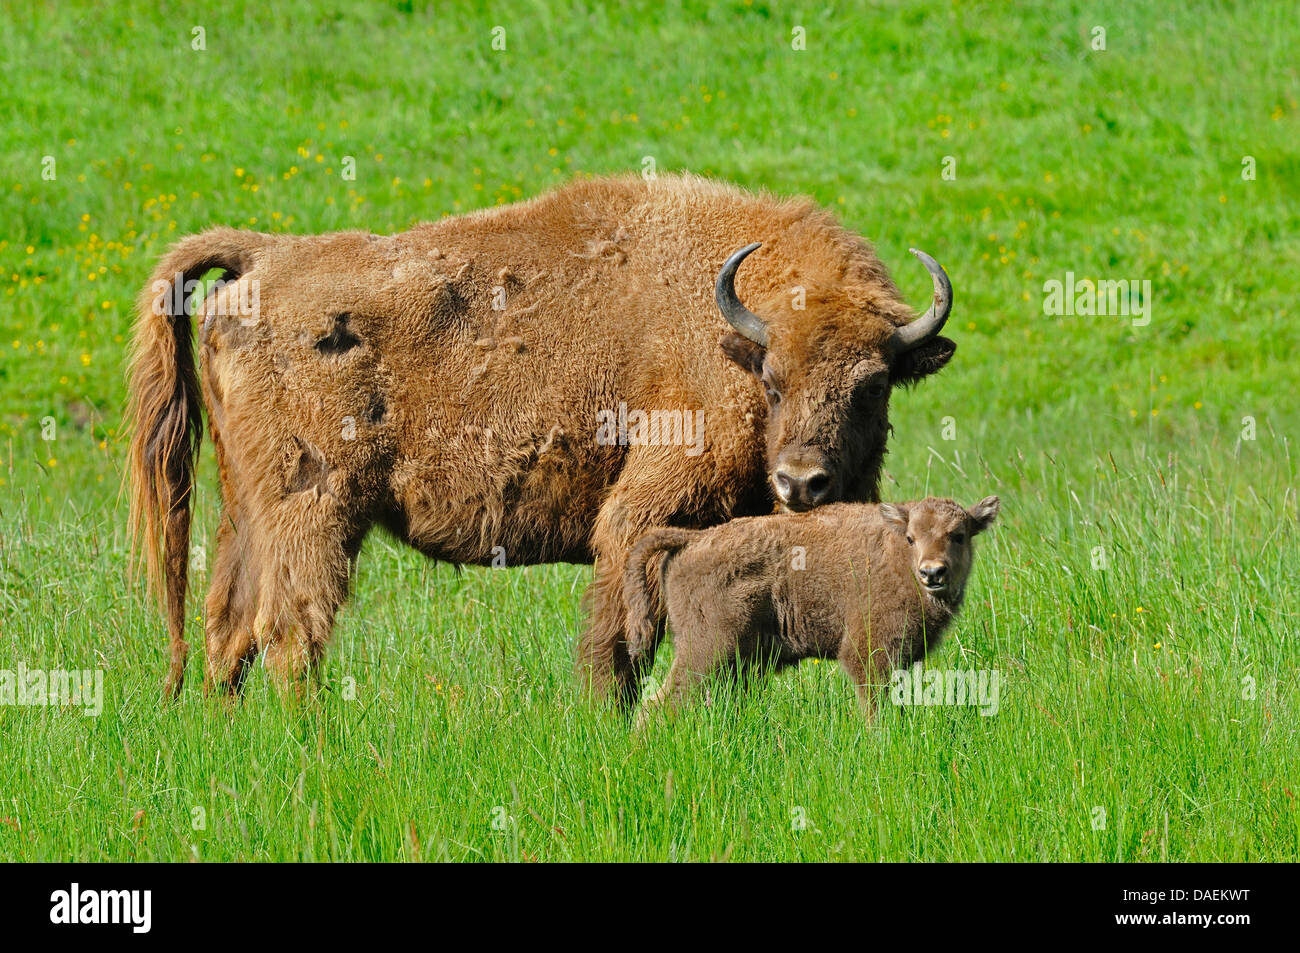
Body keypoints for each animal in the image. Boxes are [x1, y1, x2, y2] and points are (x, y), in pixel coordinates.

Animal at [126, 173, 955, 706]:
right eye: (773, 379)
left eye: (874, 384)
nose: (802, 482)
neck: (728, 334)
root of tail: (266, 256)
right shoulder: (637, 519)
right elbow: (618, 643)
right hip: (318, 506)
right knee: (291, 631)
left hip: (246, 506)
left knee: (227, 628)